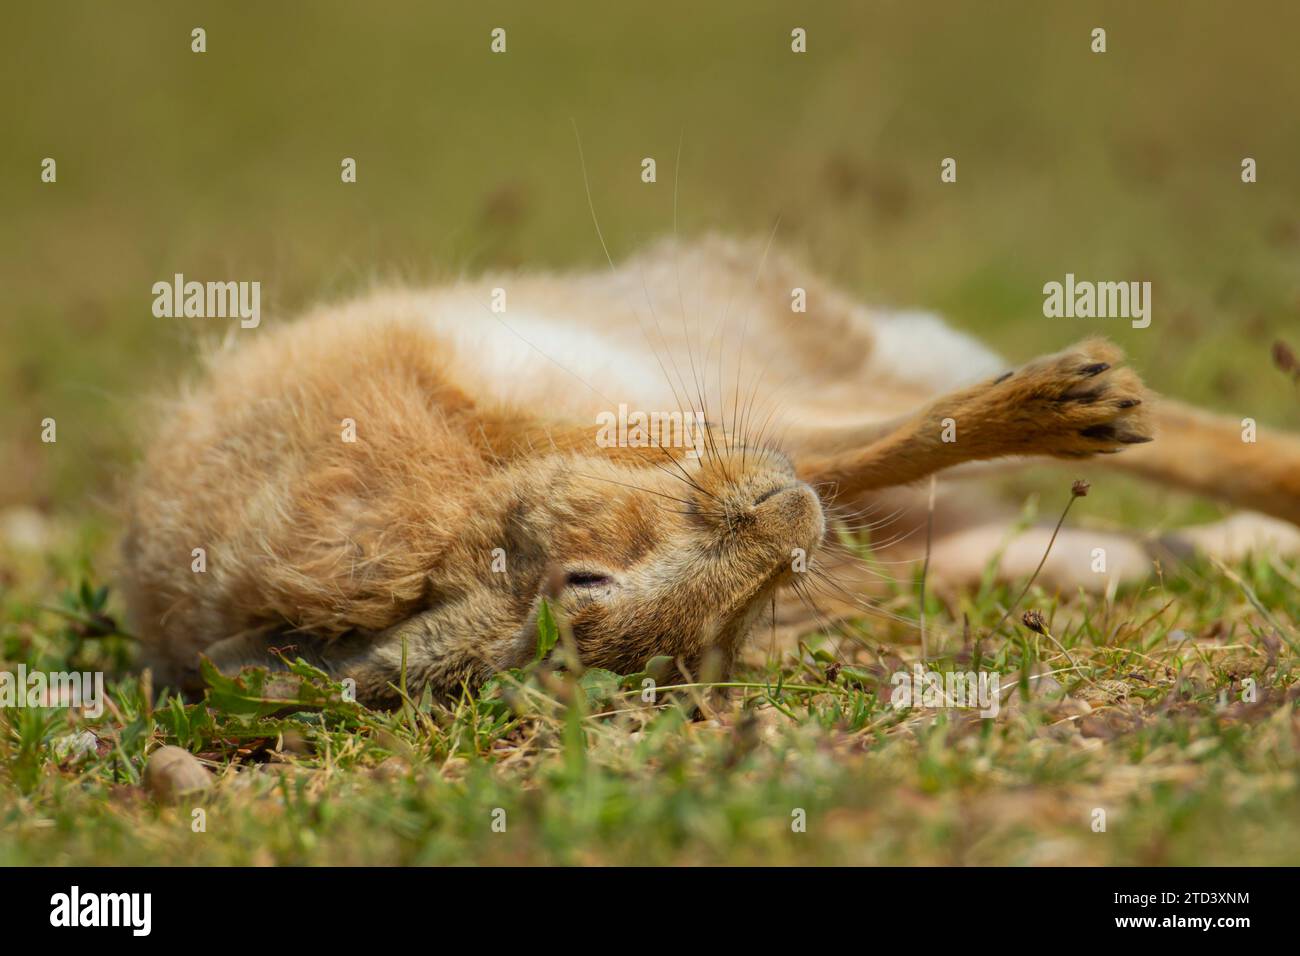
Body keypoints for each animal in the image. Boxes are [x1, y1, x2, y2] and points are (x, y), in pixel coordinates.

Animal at [122, 236, 1300, 705]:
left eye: (580, 578)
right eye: (681, 654)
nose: (782, 532)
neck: (459, 502)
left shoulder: (656, 421)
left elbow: (865, 442)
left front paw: (1071, 401)